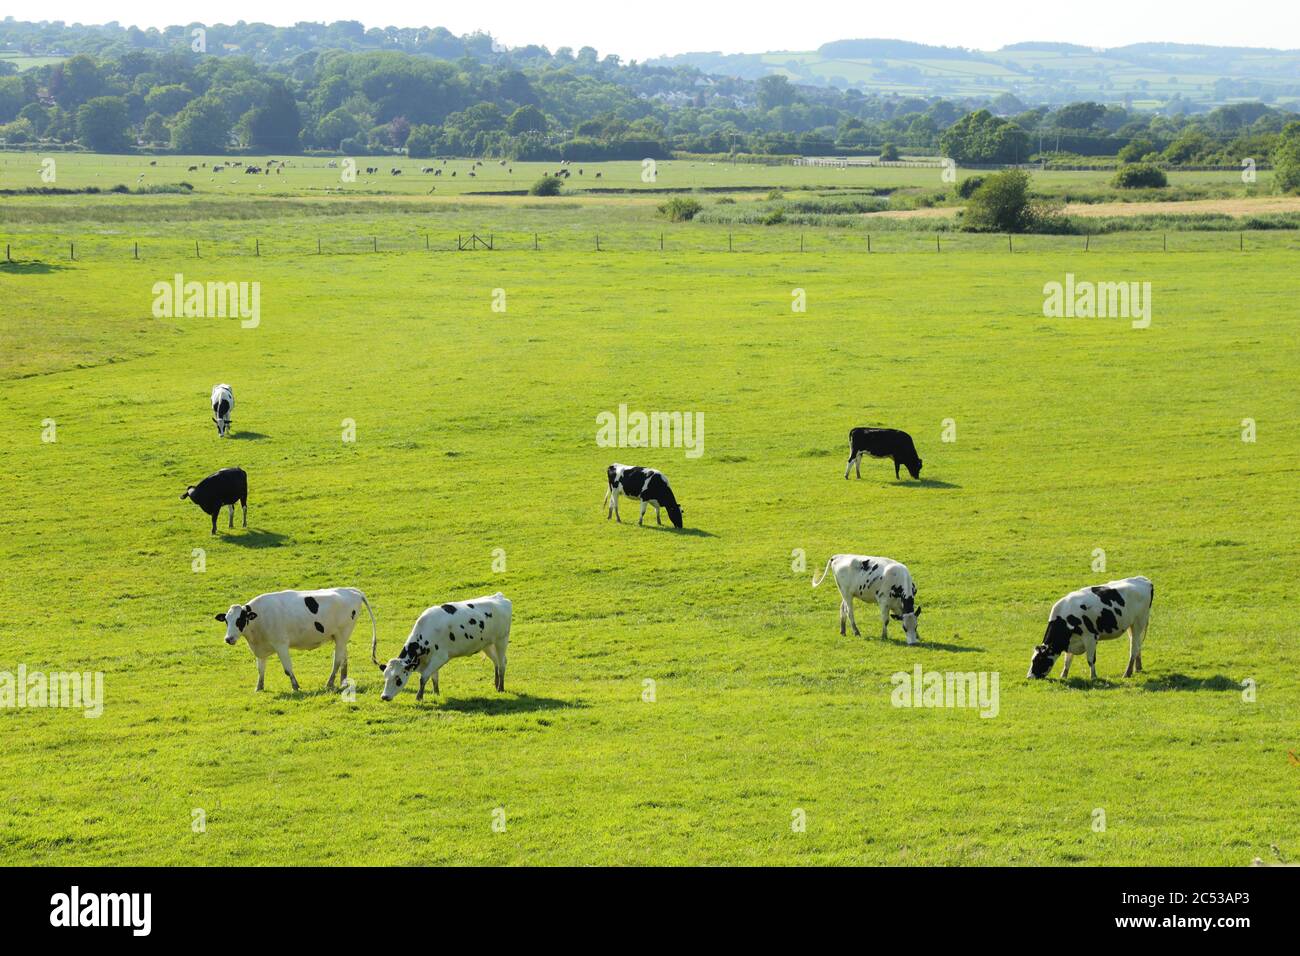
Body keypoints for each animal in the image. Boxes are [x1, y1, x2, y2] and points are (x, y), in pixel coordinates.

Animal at [216, 587, 376, 692]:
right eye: (226, 620)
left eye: (240, 620)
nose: (228, 639)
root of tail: (351, 590)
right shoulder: (260, 649)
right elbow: (260, 669)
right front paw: (259, 688)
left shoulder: (281, 644)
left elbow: (288, 669)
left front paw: (295, 686)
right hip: (340, 637)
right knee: (344, 658)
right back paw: (343, 682)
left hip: (343, 634)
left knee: (337, 660)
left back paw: (329, 683)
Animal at [375, 593, 512, 701]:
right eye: (385, 677)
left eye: (398, 679)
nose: (384, 697)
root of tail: (499, 596)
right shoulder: (430, 659)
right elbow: (434, 678)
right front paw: (436, 693)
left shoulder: (440, 657)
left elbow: (423, 677)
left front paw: (419, 697)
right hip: (487, 644)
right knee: (496, 661)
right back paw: (496, 684)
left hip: (501, 640)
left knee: (502, 663)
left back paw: (501, 687)